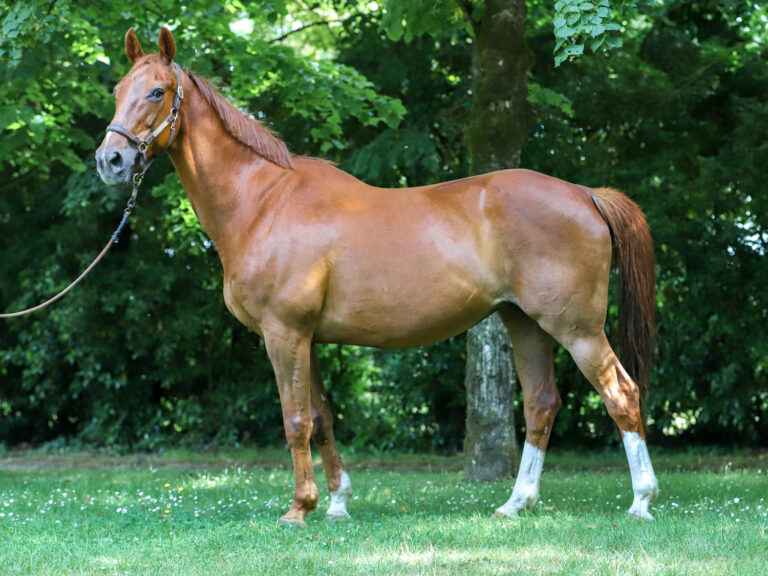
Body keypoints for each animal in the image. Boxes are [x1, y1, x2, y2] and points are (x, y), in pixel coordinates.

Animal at [96, 27, 659, 526]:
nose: (110, 160)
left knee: (622, 395)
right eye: (118, 90)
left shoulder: (284, 334)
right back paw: (515, 504)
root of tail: (585, 194)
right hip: (525, 324)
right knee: (542, 404)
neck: (264, 202)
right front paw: (337, 504)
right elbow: (322, 419)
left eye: (157, 91)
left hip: (577, 329)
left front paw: (298, 510)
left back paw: (641, 501)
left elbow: (295, 420)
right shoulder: (307, 339)